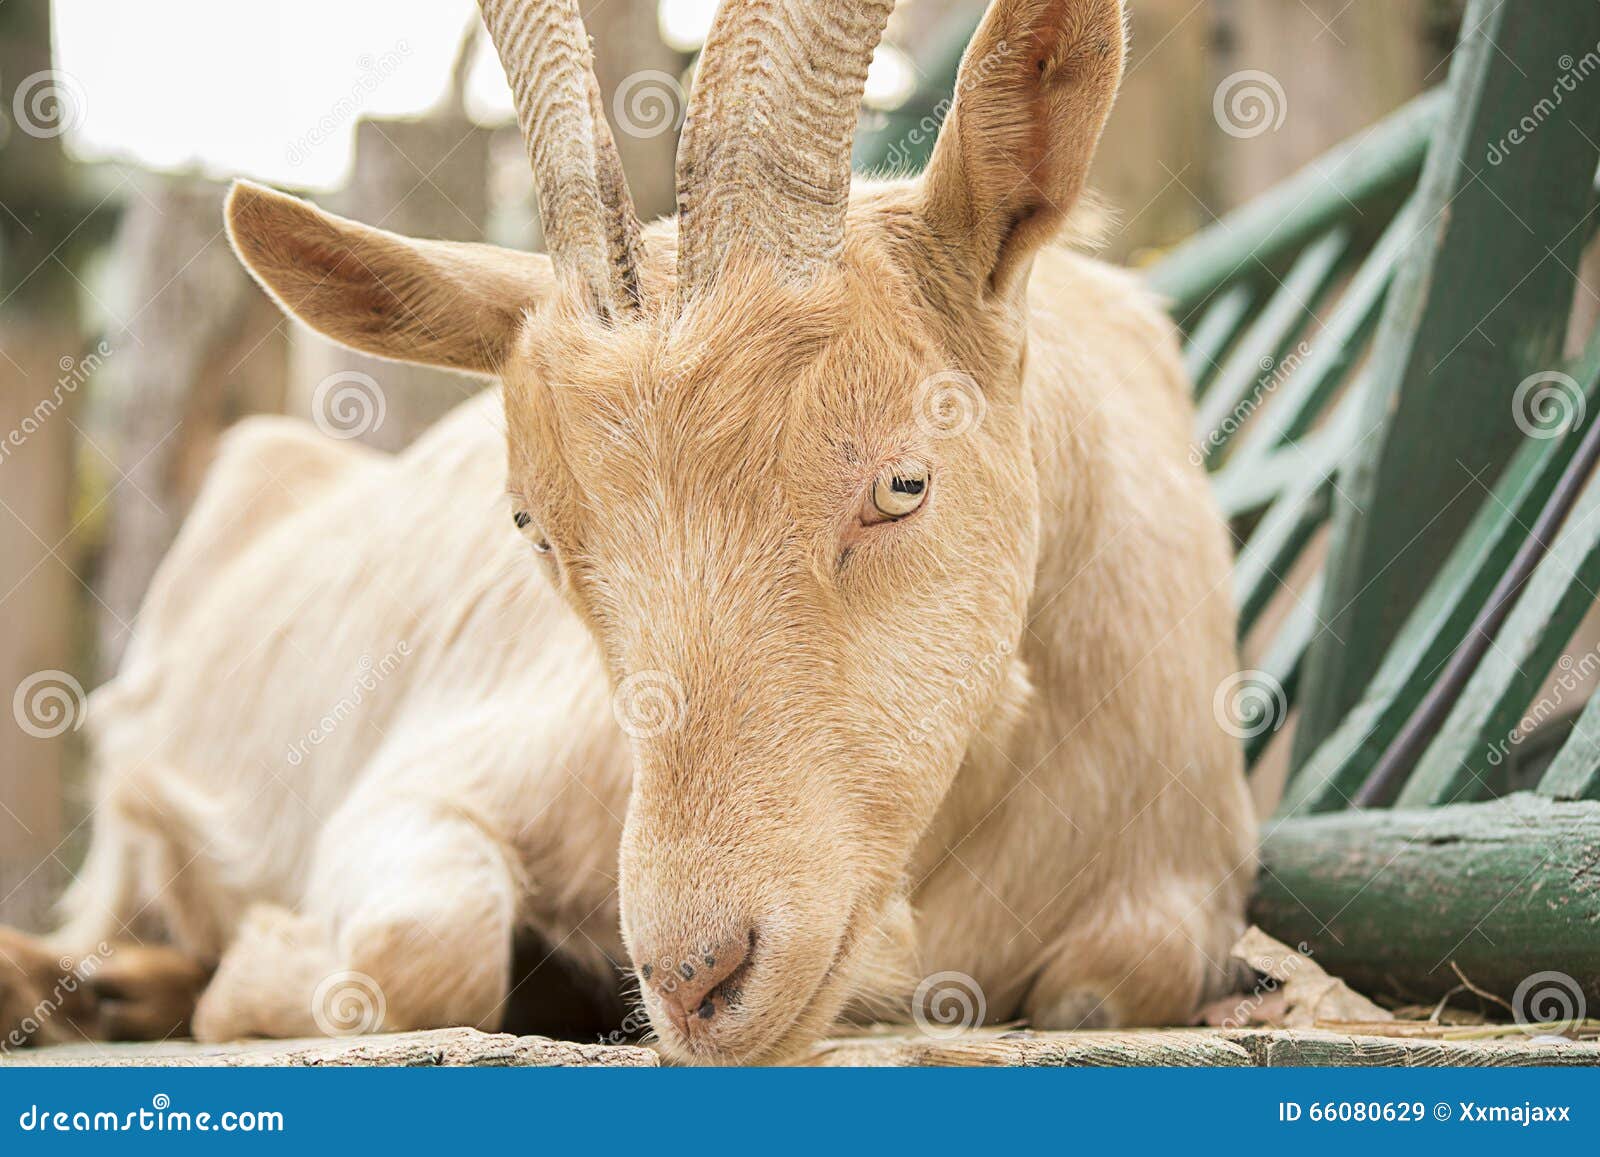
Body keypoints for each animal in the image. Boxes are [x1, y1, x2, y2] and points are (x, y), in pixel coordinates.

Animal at [0, 0, 1256, 1064]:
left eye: (904, 482)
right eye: (535, 527)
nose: (698, 974)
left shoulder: (1168, 885)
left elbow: (1113, 975)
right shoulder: (435, 768)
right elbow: (422, 947)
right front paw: (255, 968)